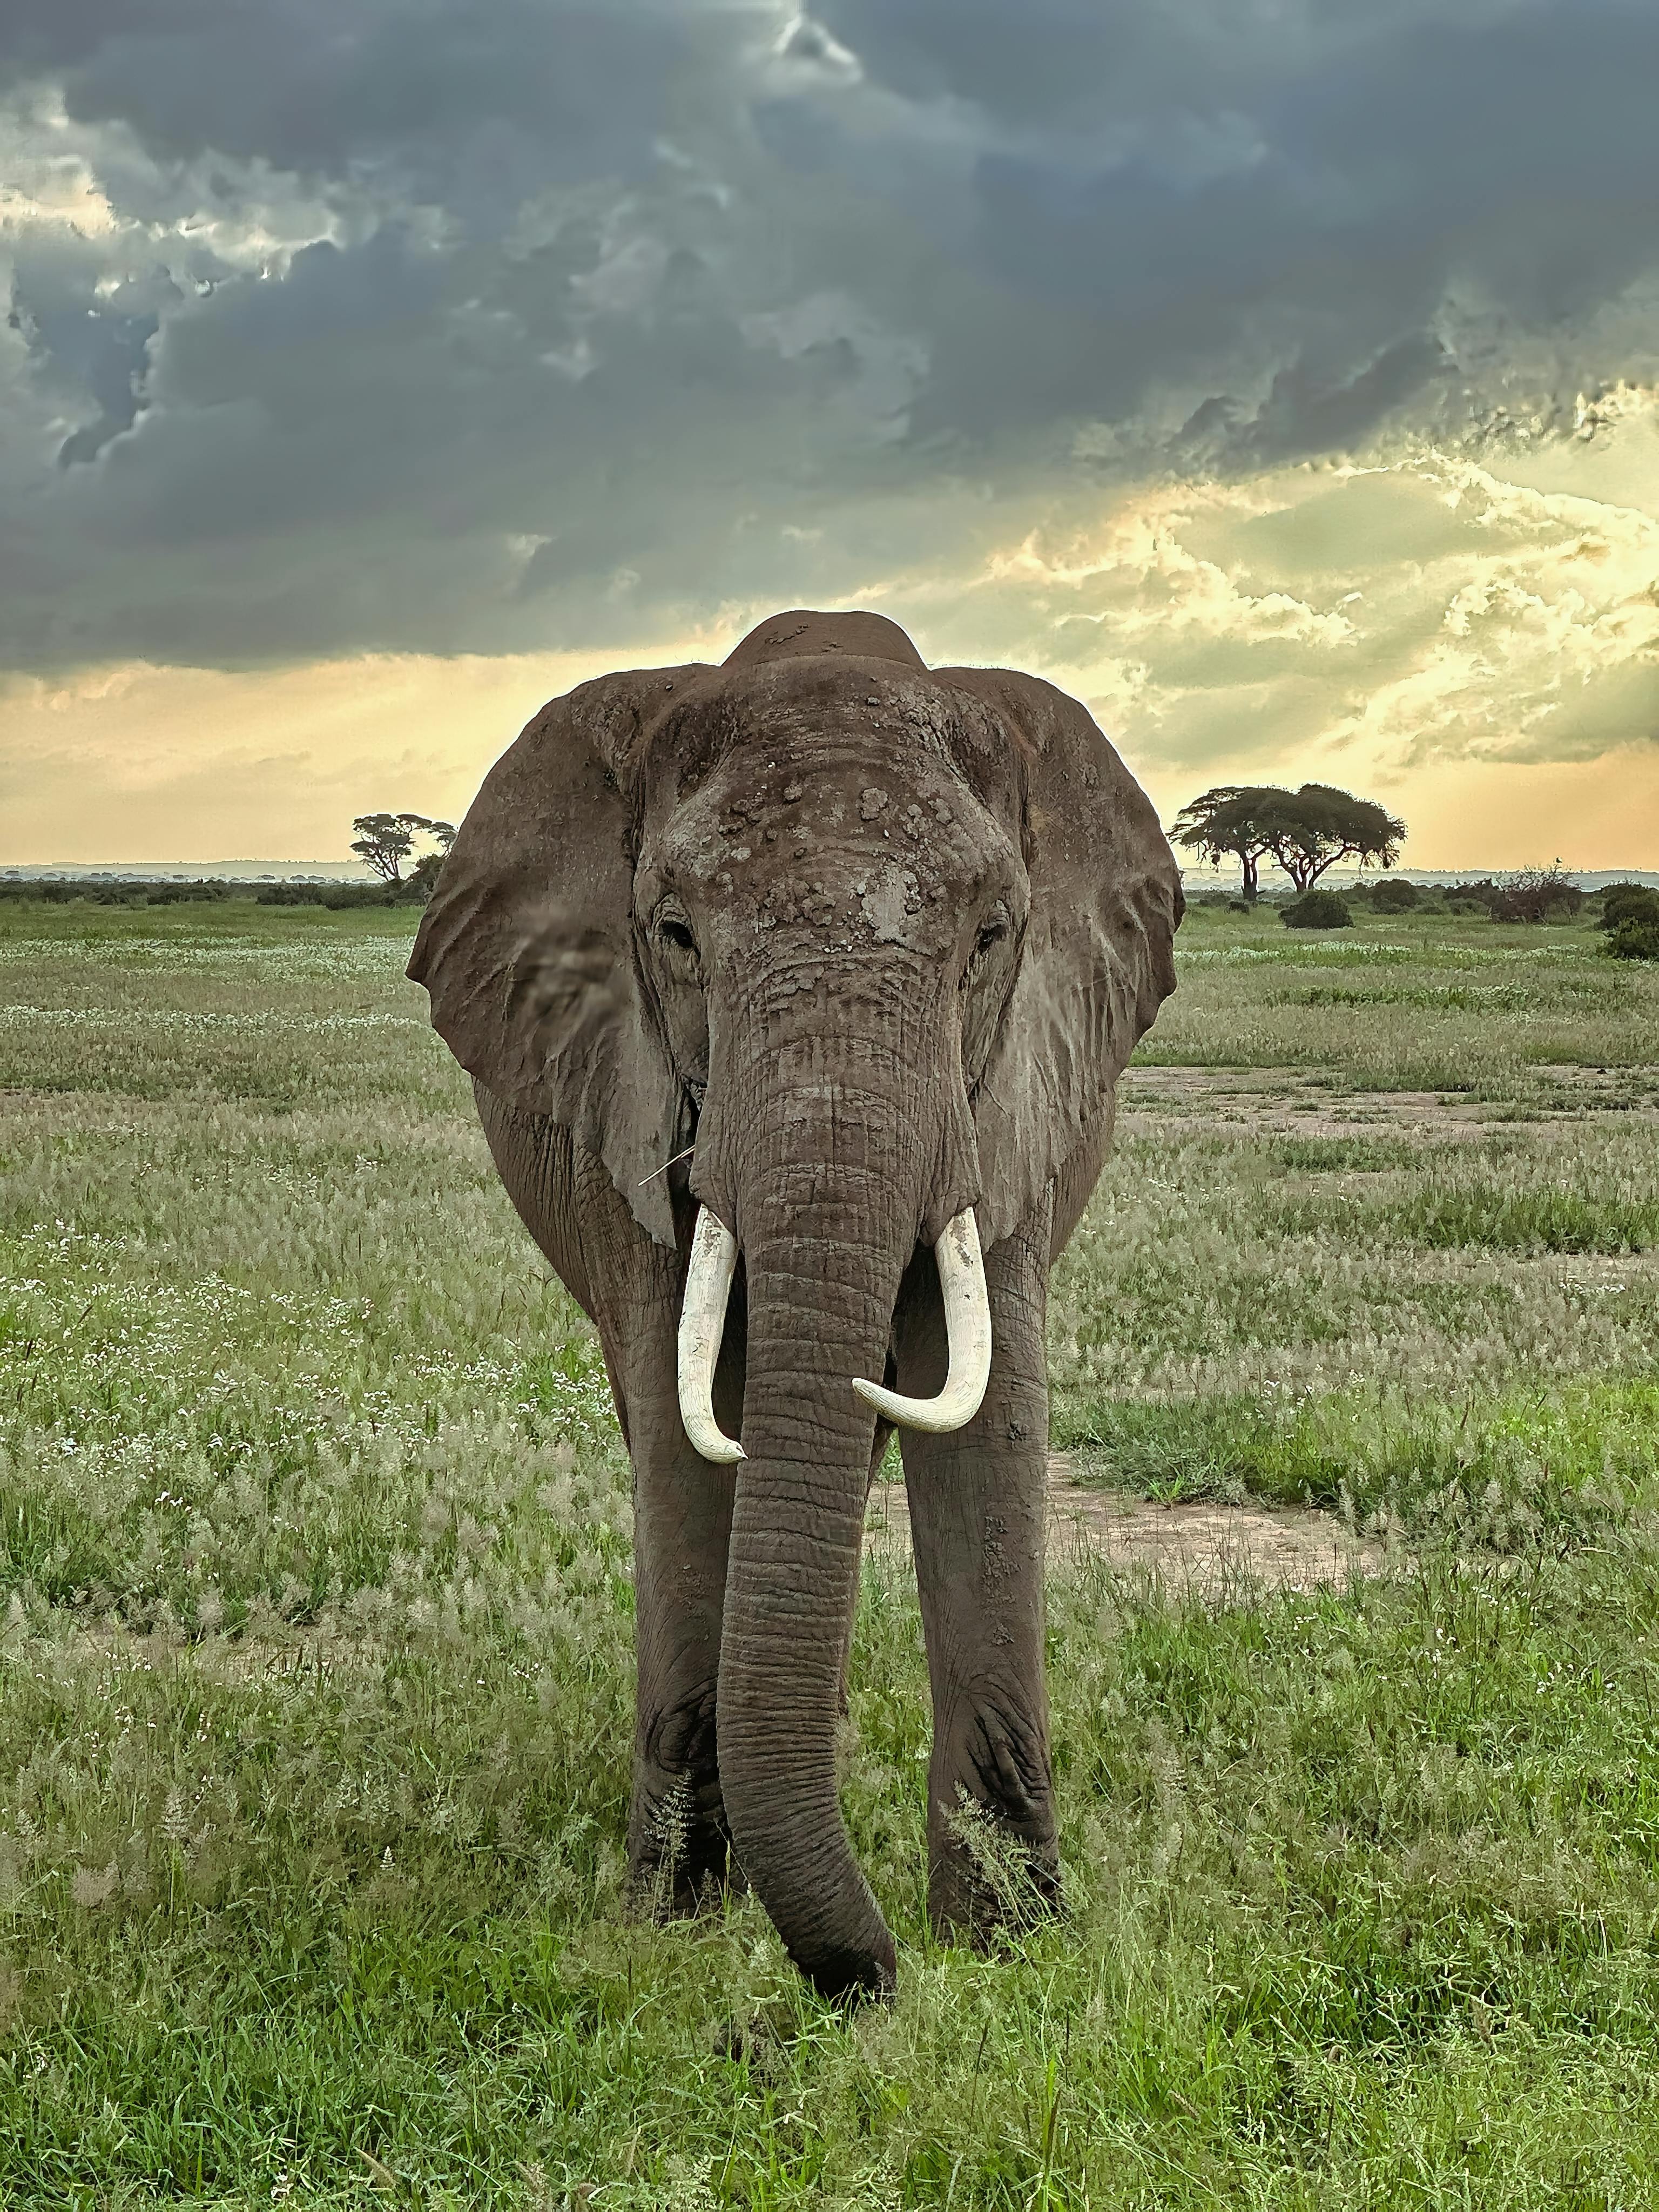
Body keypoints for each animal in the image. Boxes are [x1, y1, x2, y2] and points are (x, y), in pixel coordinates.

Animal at [407, 608, 1182, 1999]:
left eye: (993, 938)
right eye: (672, 935)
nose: (870, 1979)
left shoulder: (1015, 1097)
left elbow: (987, 1414)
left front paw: (1011, 1944)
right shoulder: (632, 1092)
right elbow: (687, 1425)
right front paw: (671, 1922)